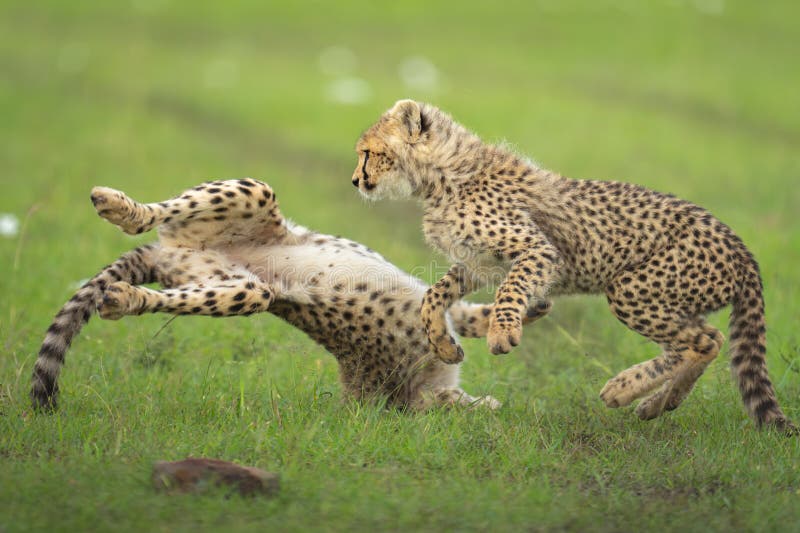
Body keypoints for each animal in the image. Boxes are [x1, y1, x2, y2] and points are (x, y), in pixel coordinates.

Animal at [30, 178, 550, 412]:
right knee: (150, 216)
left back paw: (123, 297)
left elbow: (464, 318)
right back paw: (116, 205)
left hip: (242, 287)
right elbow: (458, 318)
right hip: (253, 192)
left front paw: (526, 311)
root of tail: (164, 254)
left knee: (176, 290)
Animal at [350, 99, 796, 432]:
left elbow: (511, 289)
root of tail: (742, 249)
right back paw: (656, 403)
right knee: (704, 341)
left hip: (631, 290)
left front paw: (503, 331)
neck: (444, 177)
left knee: (703, 341)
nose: (355, 181)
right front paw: (443, 344)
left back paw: (622, 388)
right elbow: (434, 295)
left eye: (369, 153)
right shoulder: (478, 263)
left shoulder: (538, 250)